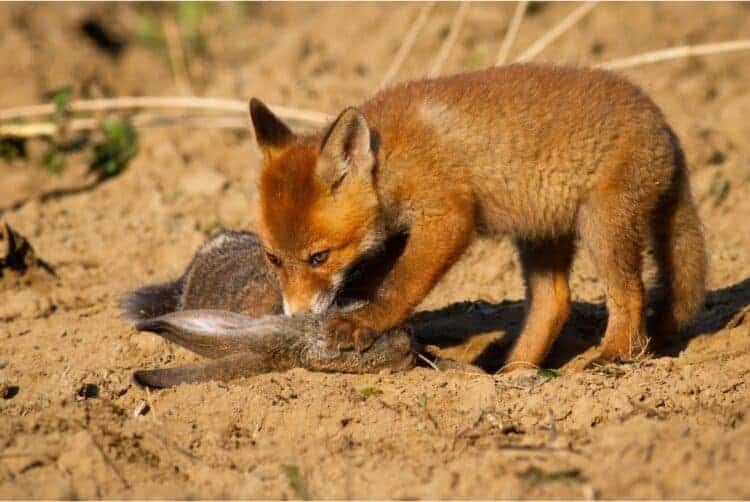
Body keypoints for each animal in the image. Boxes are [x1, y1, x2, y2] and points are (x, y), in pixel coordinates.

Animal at [249, 63, 707, 370]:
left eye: (319, 258)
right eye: (273, 259)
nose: (296, 316)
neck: (392, 156)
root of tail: (664, 123)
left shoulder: (447, 217)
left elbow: (400, 285)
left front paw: (365, 321)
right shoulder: (398, 232)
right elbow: (375, 276)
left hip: (603, 227)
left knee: (630, 294)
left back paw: (612, 356)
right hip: (541, 233)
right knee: (554, 303)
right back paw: (512, 373)